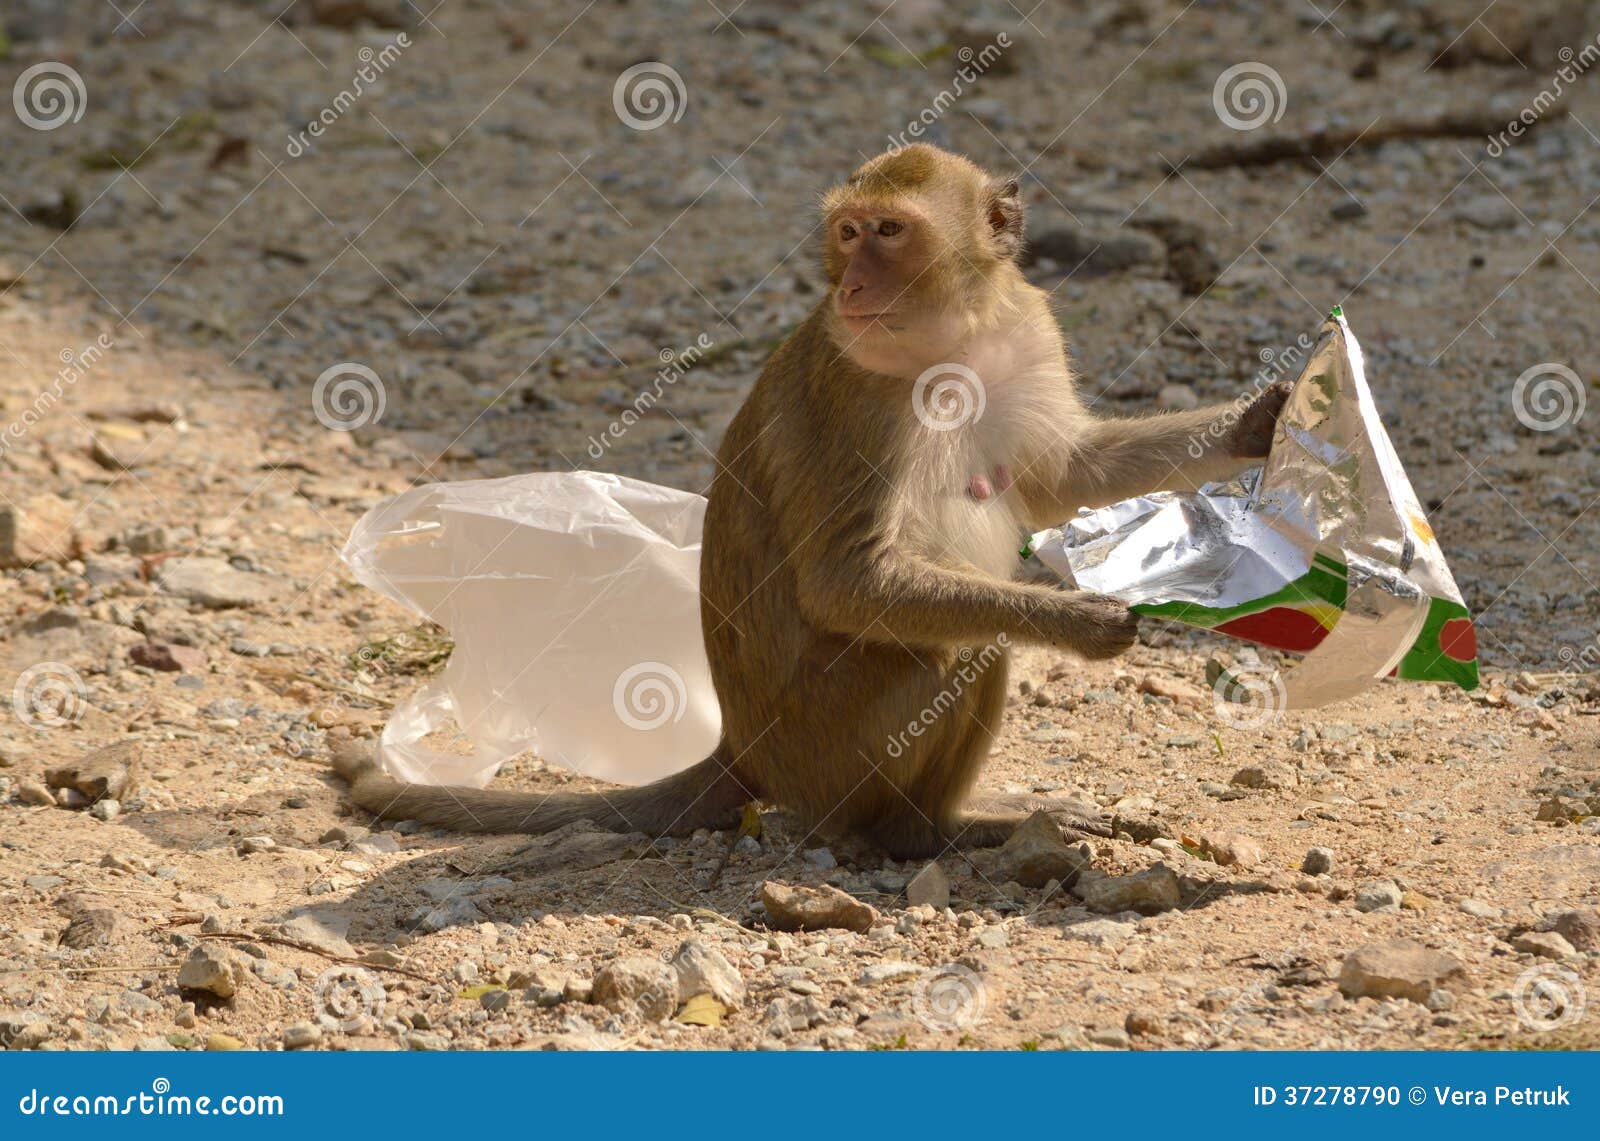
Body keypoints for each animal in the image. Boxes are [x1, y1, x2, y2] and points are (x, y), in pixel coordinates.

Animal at [333, 144, 1289, 859]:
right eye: (849, 231)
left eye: (891, 232)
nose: (854, 285)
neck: (953, 341)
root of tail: (742, 749)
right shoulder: (856, 393)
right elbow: (843, 581)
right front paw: (1081, 620)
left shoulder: (1027, 332)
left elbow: (1065, 476)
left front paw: (1259, 424)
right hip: (831, 751)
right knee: (961, 654)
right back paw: (926, 833)